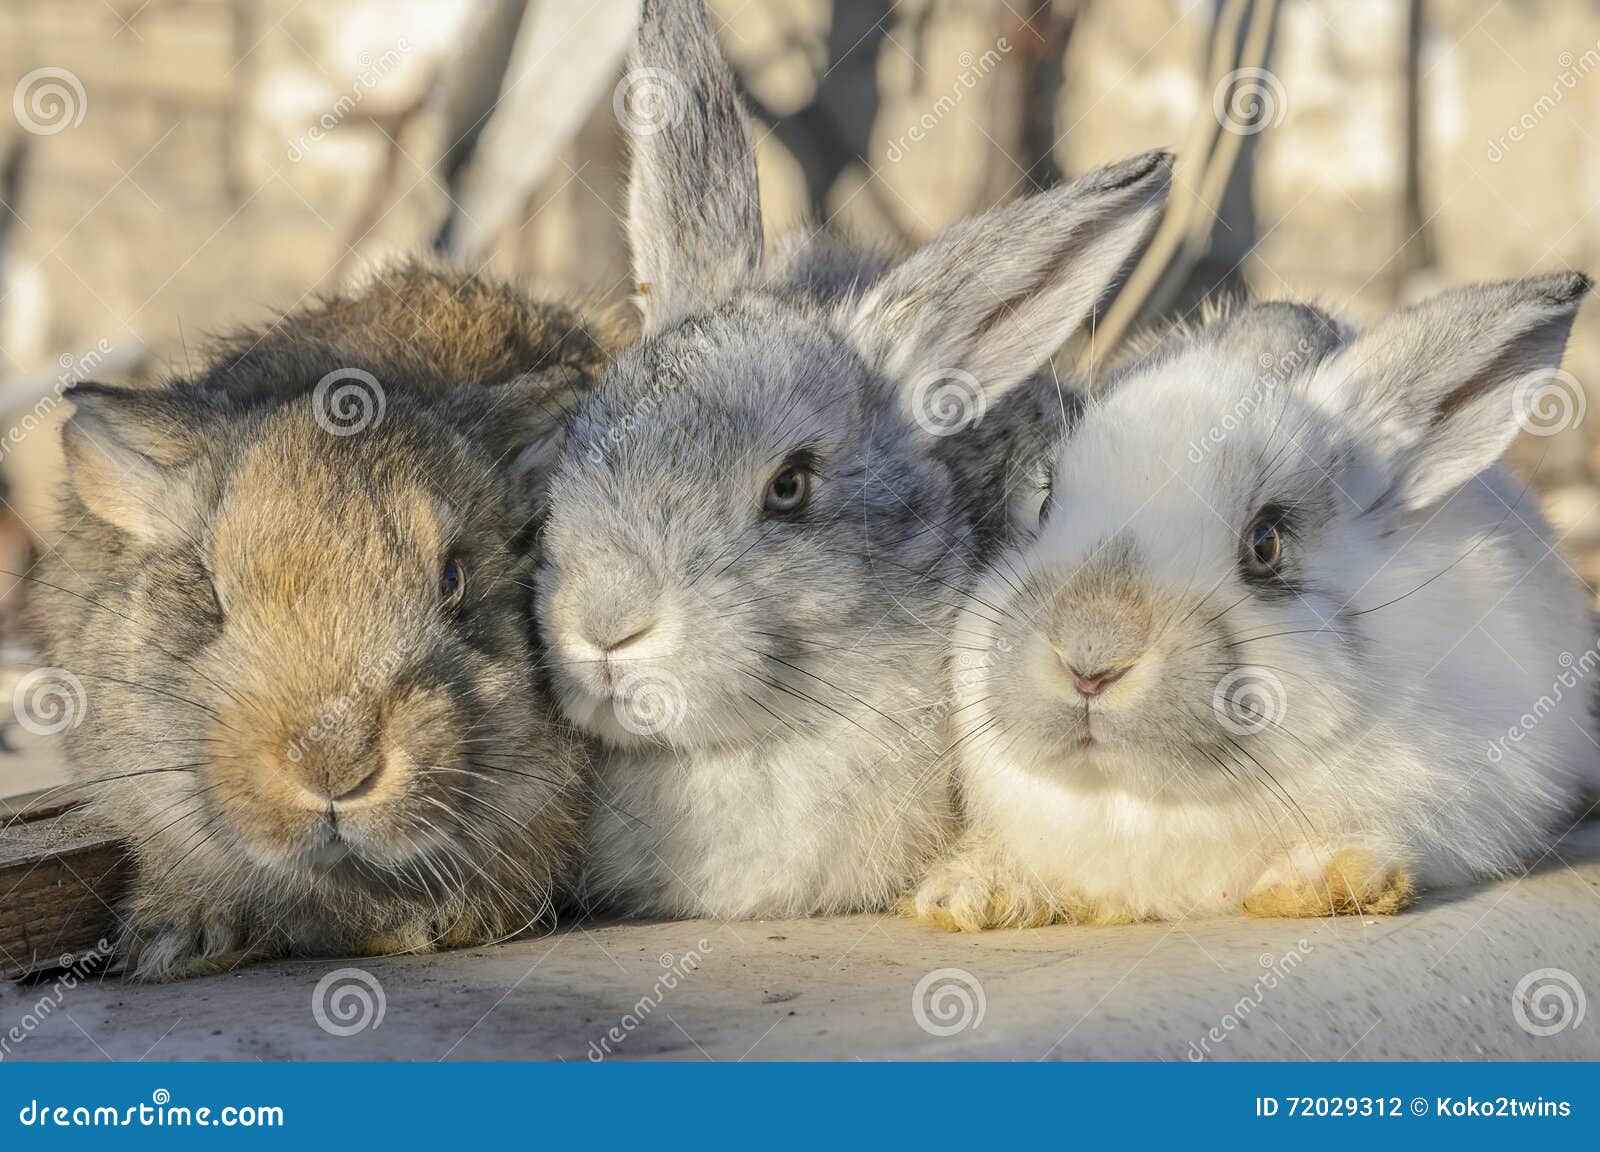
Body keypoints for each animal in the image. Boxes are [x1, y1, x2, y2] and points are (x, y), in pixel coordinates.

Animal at [904, 274, 1599, 930]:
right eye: (1045, 501)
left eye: (1266, 543)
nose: (1090, 662)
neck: (1143, 799)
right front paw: (973, 894)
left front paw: (1322, 884)